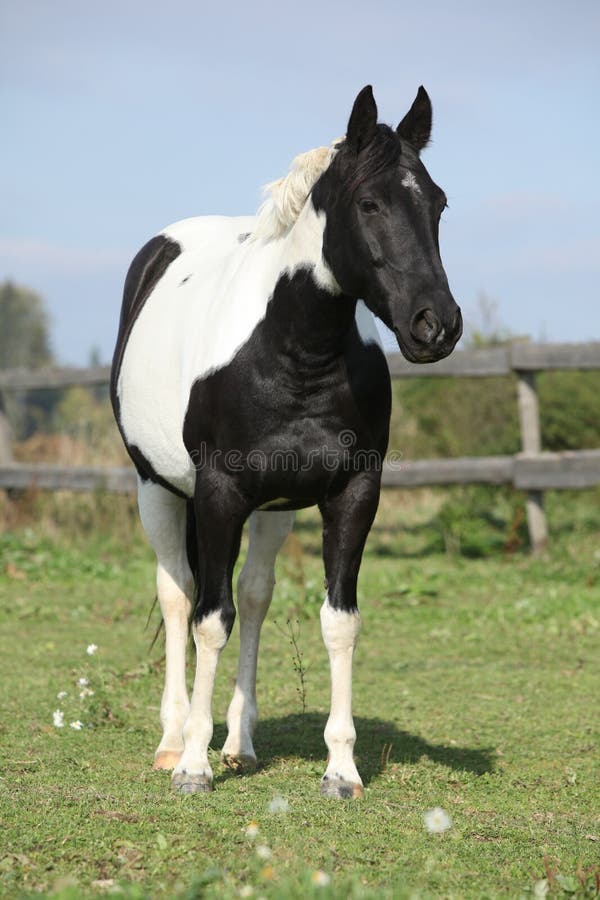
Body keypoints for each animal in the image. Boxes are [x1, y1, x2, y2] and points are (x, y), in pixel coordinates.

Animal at [111, 84, 462, 799]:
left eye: (437, 203)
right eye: (369, 203)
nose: (436, 326)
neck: (294, 350)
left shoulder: (352, 493)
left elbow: (335, 619)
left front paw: (341, 770)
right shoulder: (218, 493)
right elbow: (208, 620)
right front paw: (192, 767)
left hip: (273, 510)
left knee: (253, 595)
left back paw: (240, 745)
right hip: (156, 488)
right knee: (178, 593)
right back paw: (172, 739)